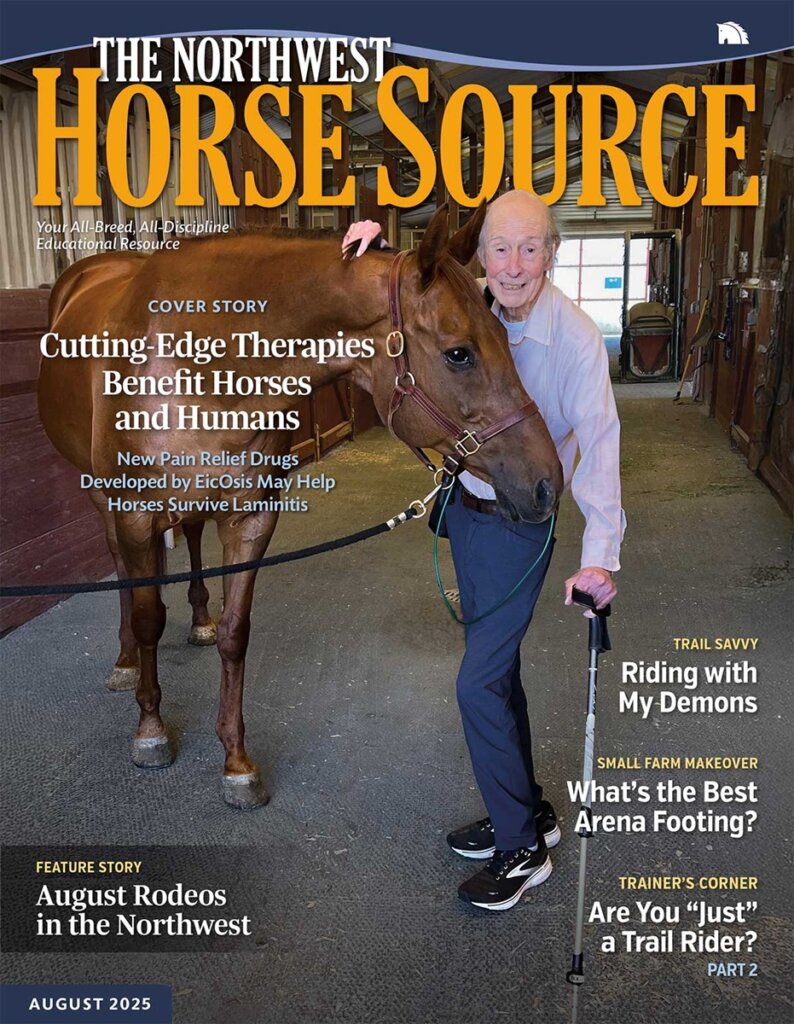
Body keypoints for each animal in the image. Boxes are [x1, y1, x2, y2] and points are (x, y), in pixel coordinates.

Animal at [37, 203, 562, 809]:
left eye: (504, 331)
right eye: (460, 354)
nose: (548, 483)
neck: (195, 364)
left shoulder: (251, 517)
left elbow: (237, 632)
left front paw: (236, 762)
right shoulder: (135, 514)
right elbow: (147, 616)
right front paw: (150, 730)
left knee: (190, 539)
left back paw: (199, 620)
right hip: (102, 497)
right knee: (124, 571)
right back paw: (125, 662)